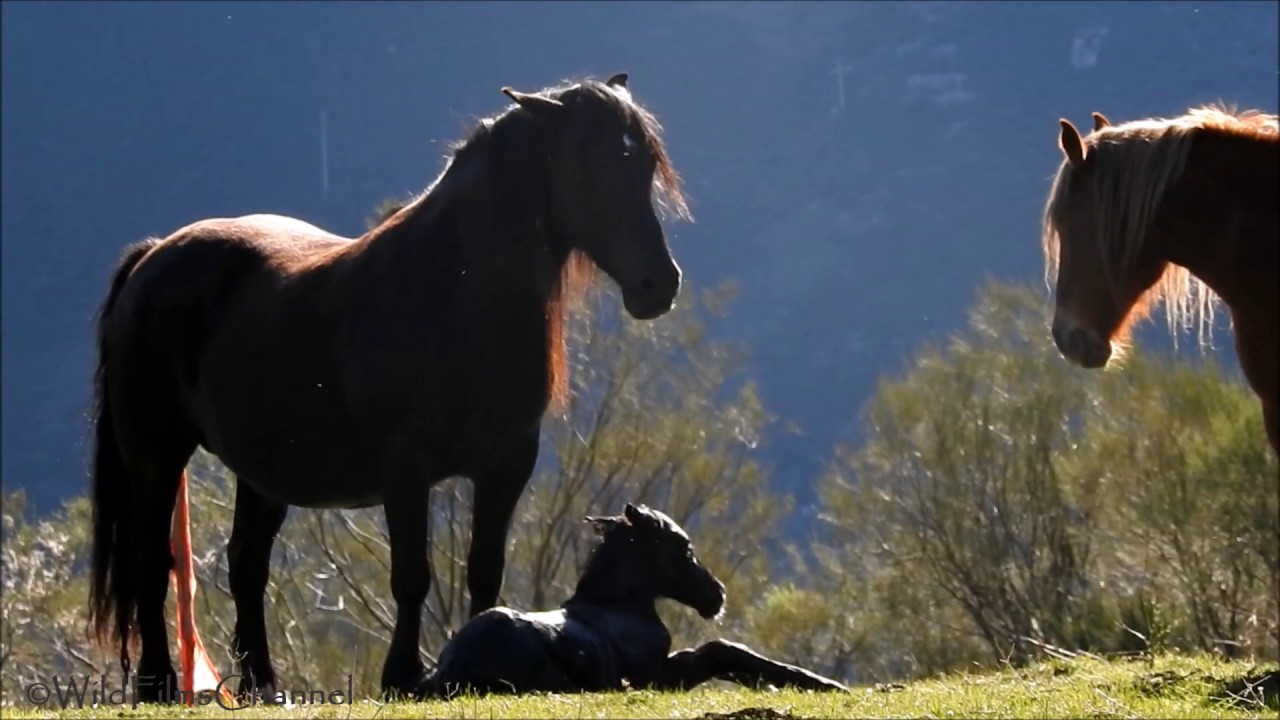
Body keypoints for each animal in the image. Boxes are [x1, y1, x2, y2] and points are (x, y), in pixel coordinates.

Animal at [85, 72, 691, 704]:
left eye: (646, 166)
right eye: (590, 164)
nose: (659, 284)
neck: (455, 292)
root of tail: (154, 254)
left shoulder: (506, 467)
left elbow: (484, 569)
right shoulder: (406, 472)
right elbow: (412, 576)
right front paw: (401, 674)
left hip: (260, 474)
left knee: (246, 564)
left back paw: (263, 685)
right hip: (155, 458)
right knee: (151, 562)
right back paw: (157, 684)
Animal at [422, 503, 849, 697]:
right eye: (685, 548)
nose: (717, 594)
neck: (619, 607)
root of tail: (448, 668)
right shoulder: (658, 677)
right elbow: (719, 650)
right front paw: (821, 684)